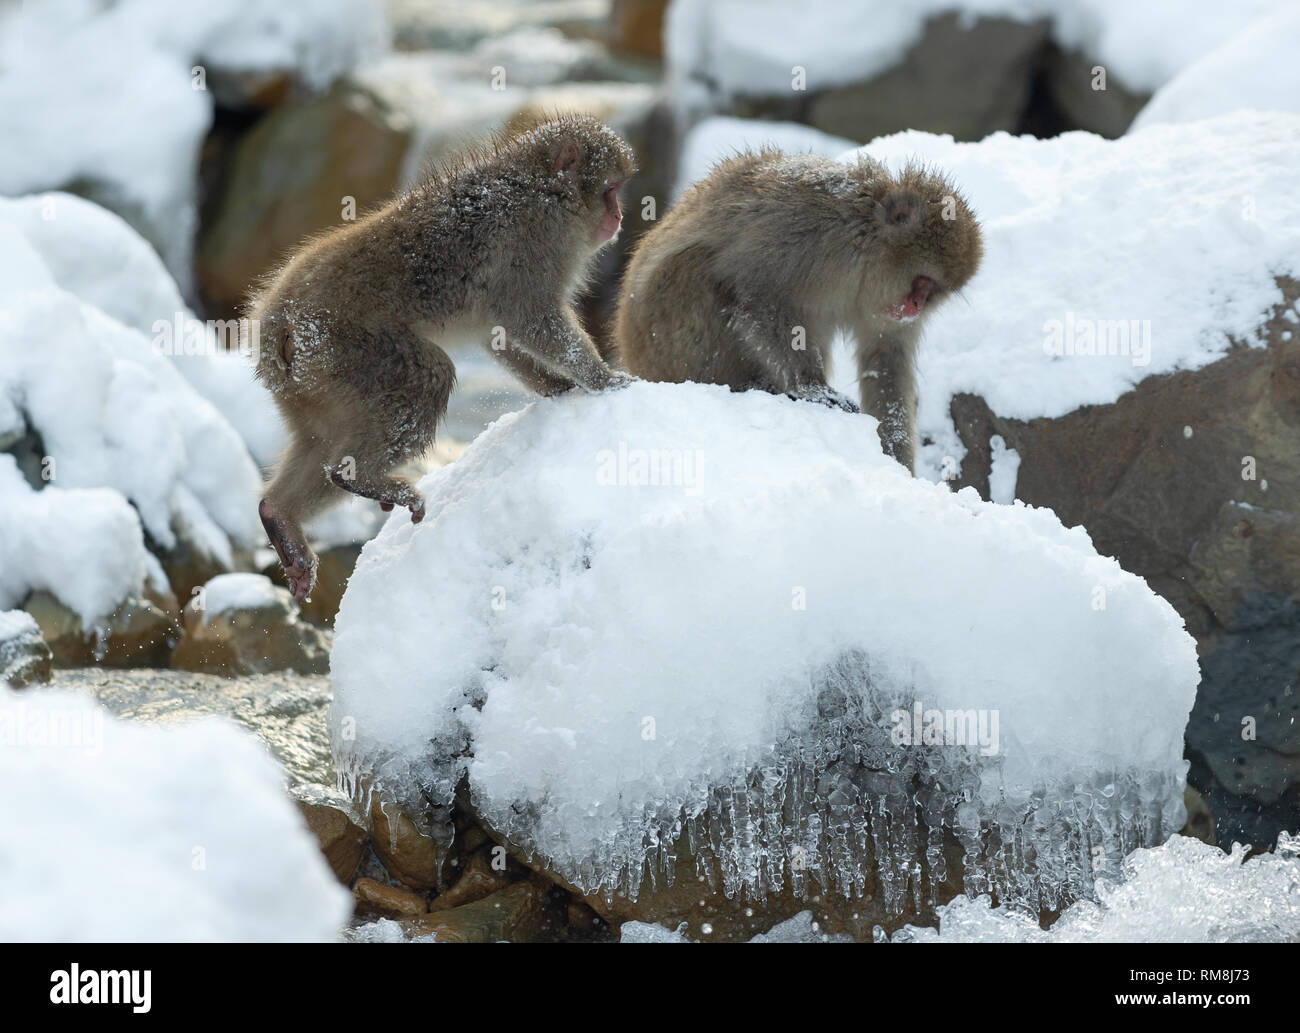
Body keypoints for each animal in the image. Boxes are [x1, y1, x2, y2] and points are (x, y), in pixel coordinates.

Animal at [249, 116, 637, 600]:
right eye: (611, 189)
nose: (618, 217)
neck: (545, 189)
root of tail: (276, 322)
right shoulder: (534, 240)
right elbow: (529, 318)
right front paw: (603, 379)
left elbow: (500, 335)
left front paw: (559, 388)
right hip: (346, 347)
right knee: (427, 378)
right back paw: (355, 477)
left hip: (308, 383)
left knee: (316, 440)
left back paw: (280, 518)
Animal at [612, 150, 982, 472]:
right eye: (921, 281)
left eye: (932, 292)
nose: (916, 307)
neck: (865, 245)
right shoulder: (810, 232)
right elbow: (756, 293)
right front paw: (811, 387)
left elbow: (885, 360)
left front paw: (898, 462)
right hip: (663, 337)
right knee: (699, 267)